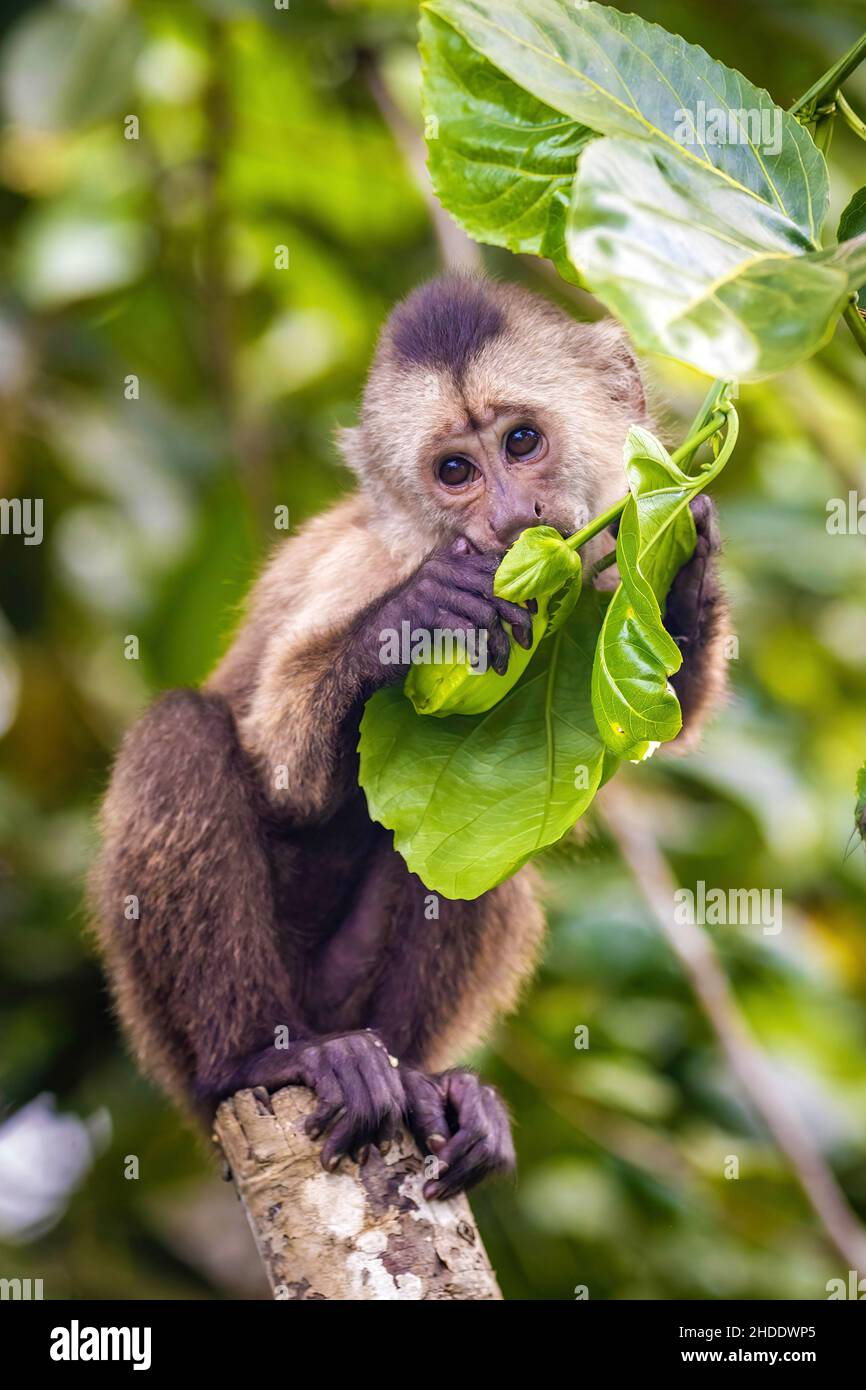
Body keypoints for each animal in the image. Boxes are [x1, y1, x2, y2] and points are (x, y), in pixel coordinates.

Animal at [90, 273, 727, 1201]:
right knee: (182, 732)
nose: (511, 515)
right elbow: (285, 776)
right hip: (173, 1031)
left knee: (483, 844)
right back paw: (256, 1060)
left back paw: (425, 1080)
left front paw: (680, 555)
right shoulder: (363, 567)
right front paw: (405, 624)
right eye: (455, 471)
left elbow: (653, 712)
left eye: (522, 442)